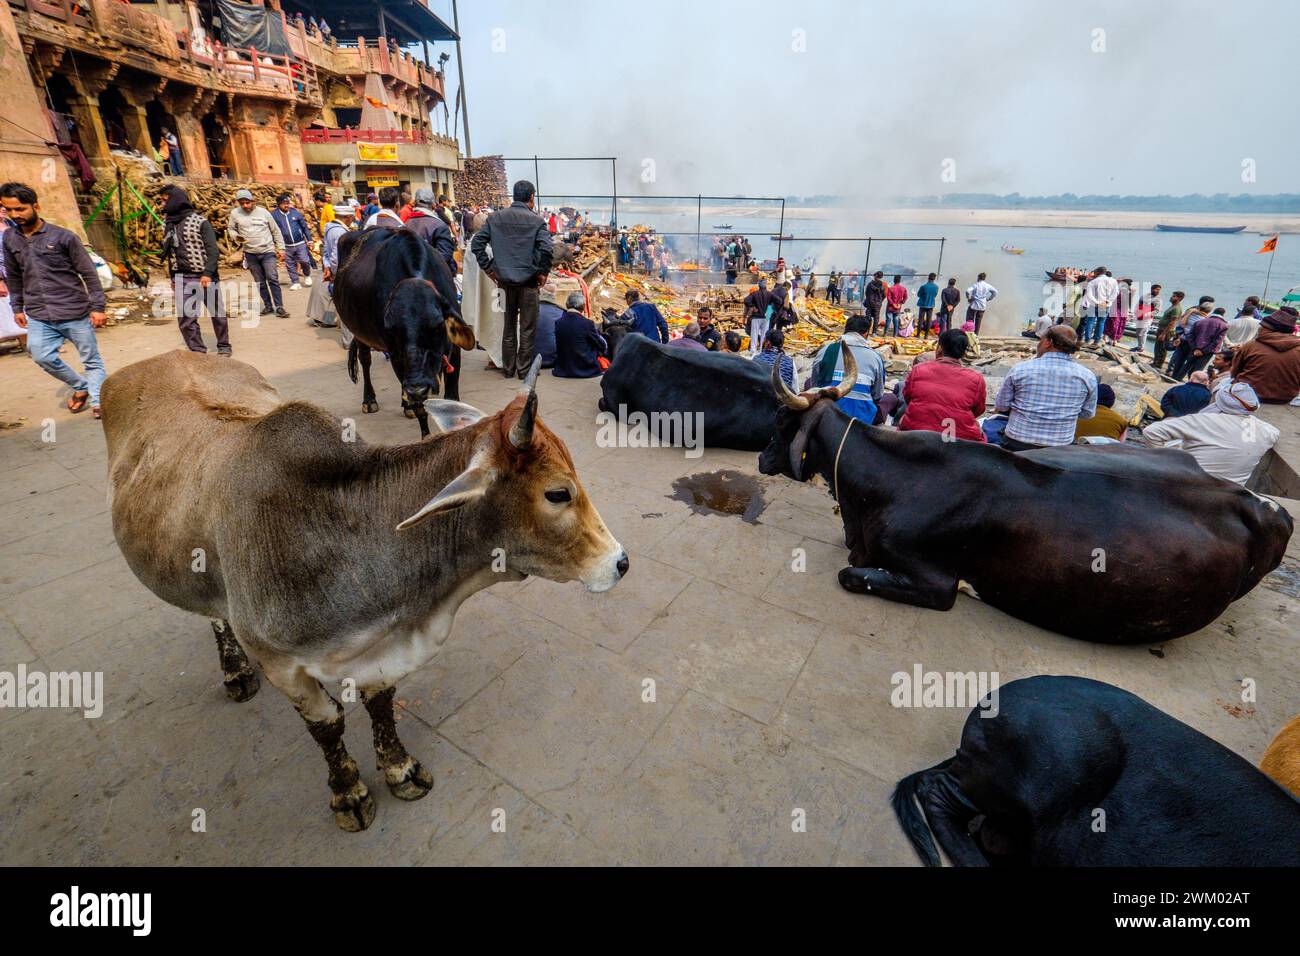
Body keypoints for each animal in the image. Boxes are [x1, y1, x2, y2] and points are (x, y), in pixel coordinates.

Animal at [101, 350, 628, 831]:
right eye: (557, 493)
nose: (620, 562)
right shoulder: (283, 665)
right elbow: (327, 725)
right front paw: (348, 794)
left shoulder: (377, 641)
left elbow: (380, 702)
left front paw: (400, 770)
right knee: (214, 614)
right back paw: (234, 670)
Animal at [332, 227, 475, 439]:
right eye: (391, 331)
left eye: (437, 325)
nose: (418, 388)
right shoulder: (396, 357)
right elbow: (420, 408)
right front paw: (426, 437)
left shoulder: (454, 350)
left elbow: (452, 400)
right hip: (360, 334)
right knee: (365, 361)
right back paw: (370, 400)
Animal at [757, 345, 1292, 643]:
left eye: (782, 419)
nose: (762, 459)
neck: (879, 484)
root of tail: (1254, 504)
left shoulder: (934, 580)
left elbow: (852, 574)